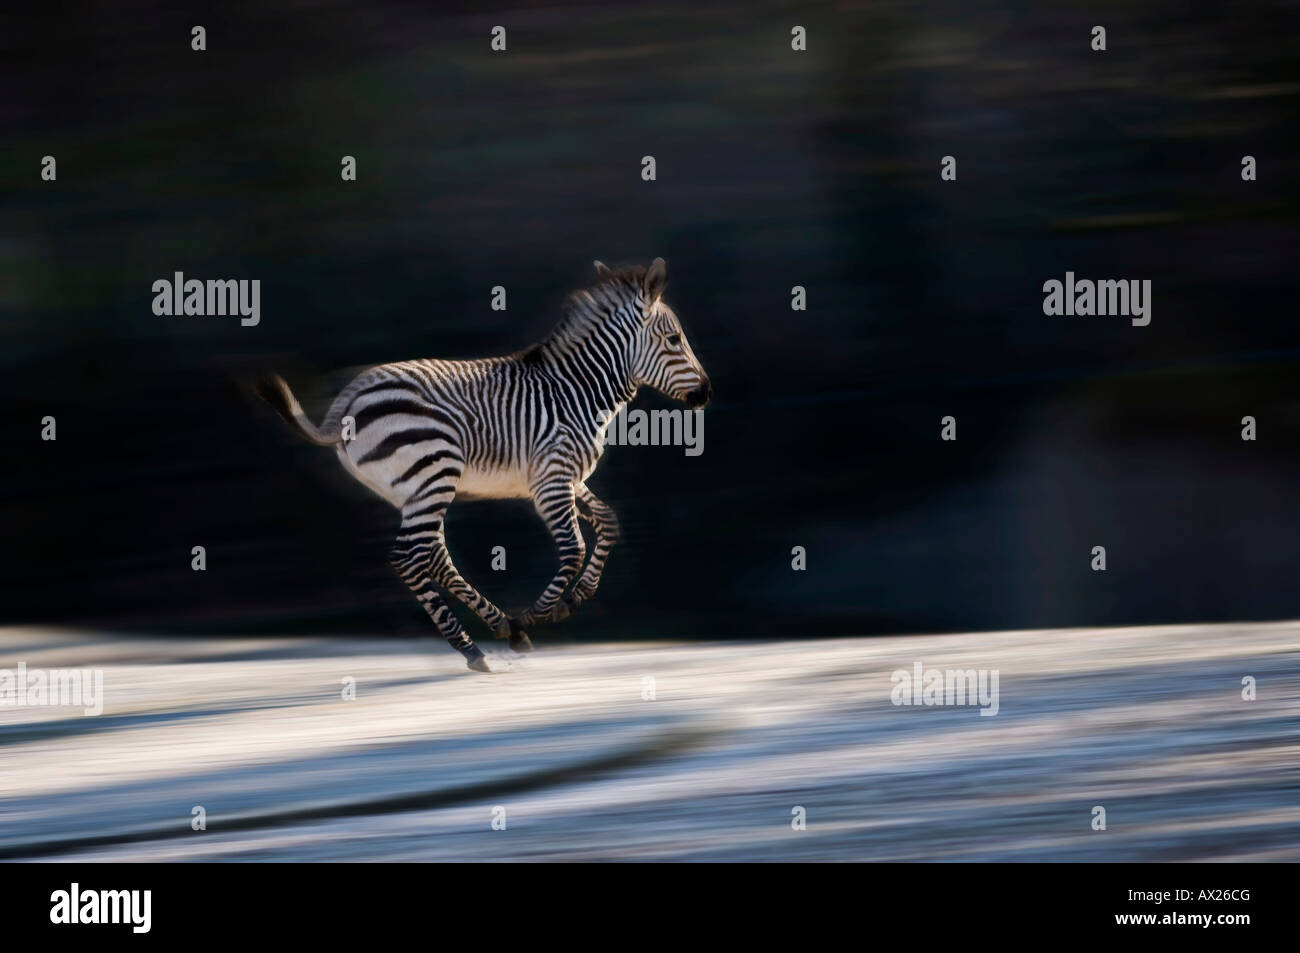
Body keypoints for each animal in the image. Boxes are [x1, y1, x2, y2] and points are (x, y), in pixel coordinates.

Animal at [257, 258, 711, 672]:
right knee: (409, 558)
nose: (706, 393)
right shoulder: (551, 480)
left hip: (414, 489)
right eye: (674, 339)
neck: (576, 391)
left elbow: (609, 523)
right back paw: (476, 647)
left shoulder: (565, 478)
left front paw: (571, 601)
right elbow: (573, 548)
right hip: (434, 473)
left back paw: (502, 628)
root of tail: (351, 396)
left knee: (434, 556)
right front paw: (540, 613)